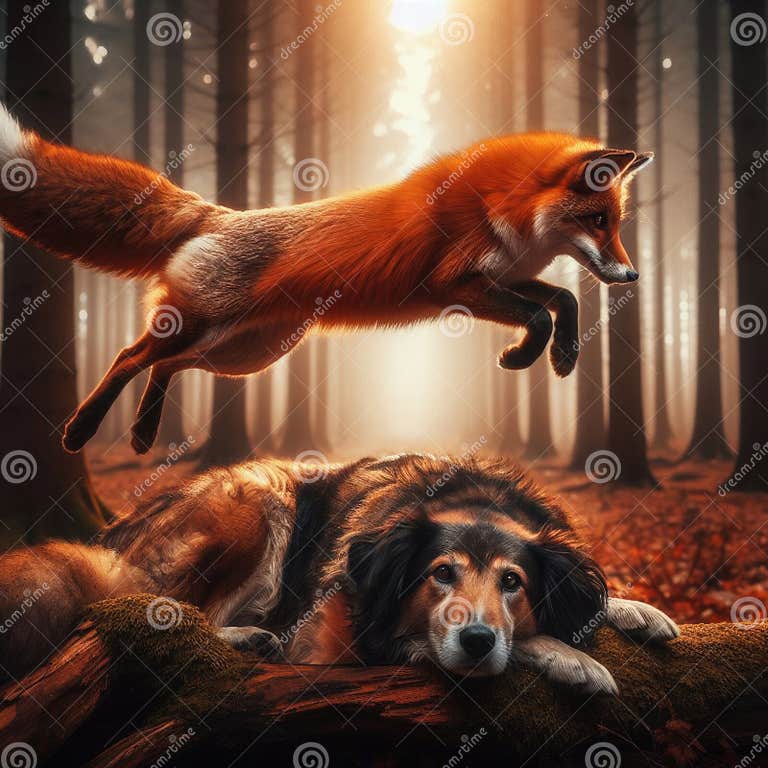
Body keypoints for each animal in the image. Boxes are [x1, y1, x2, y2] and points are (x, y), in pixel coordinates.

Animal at [0, 103, 653, 454]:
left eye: (617, 223)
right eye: (597, 220)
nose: (632, 274)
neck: (507, 213)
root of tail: (214, 214)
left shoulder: (503, 280)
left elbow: (562, 299)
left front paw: (563, 357)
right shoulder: (454, 285)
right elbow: (540, 312)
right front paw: (524, 357)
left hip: (241, 352)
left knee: (162, 366)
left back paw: (142, 432)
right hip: (203, 329)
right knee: (129, 356)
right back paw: (82, 431)